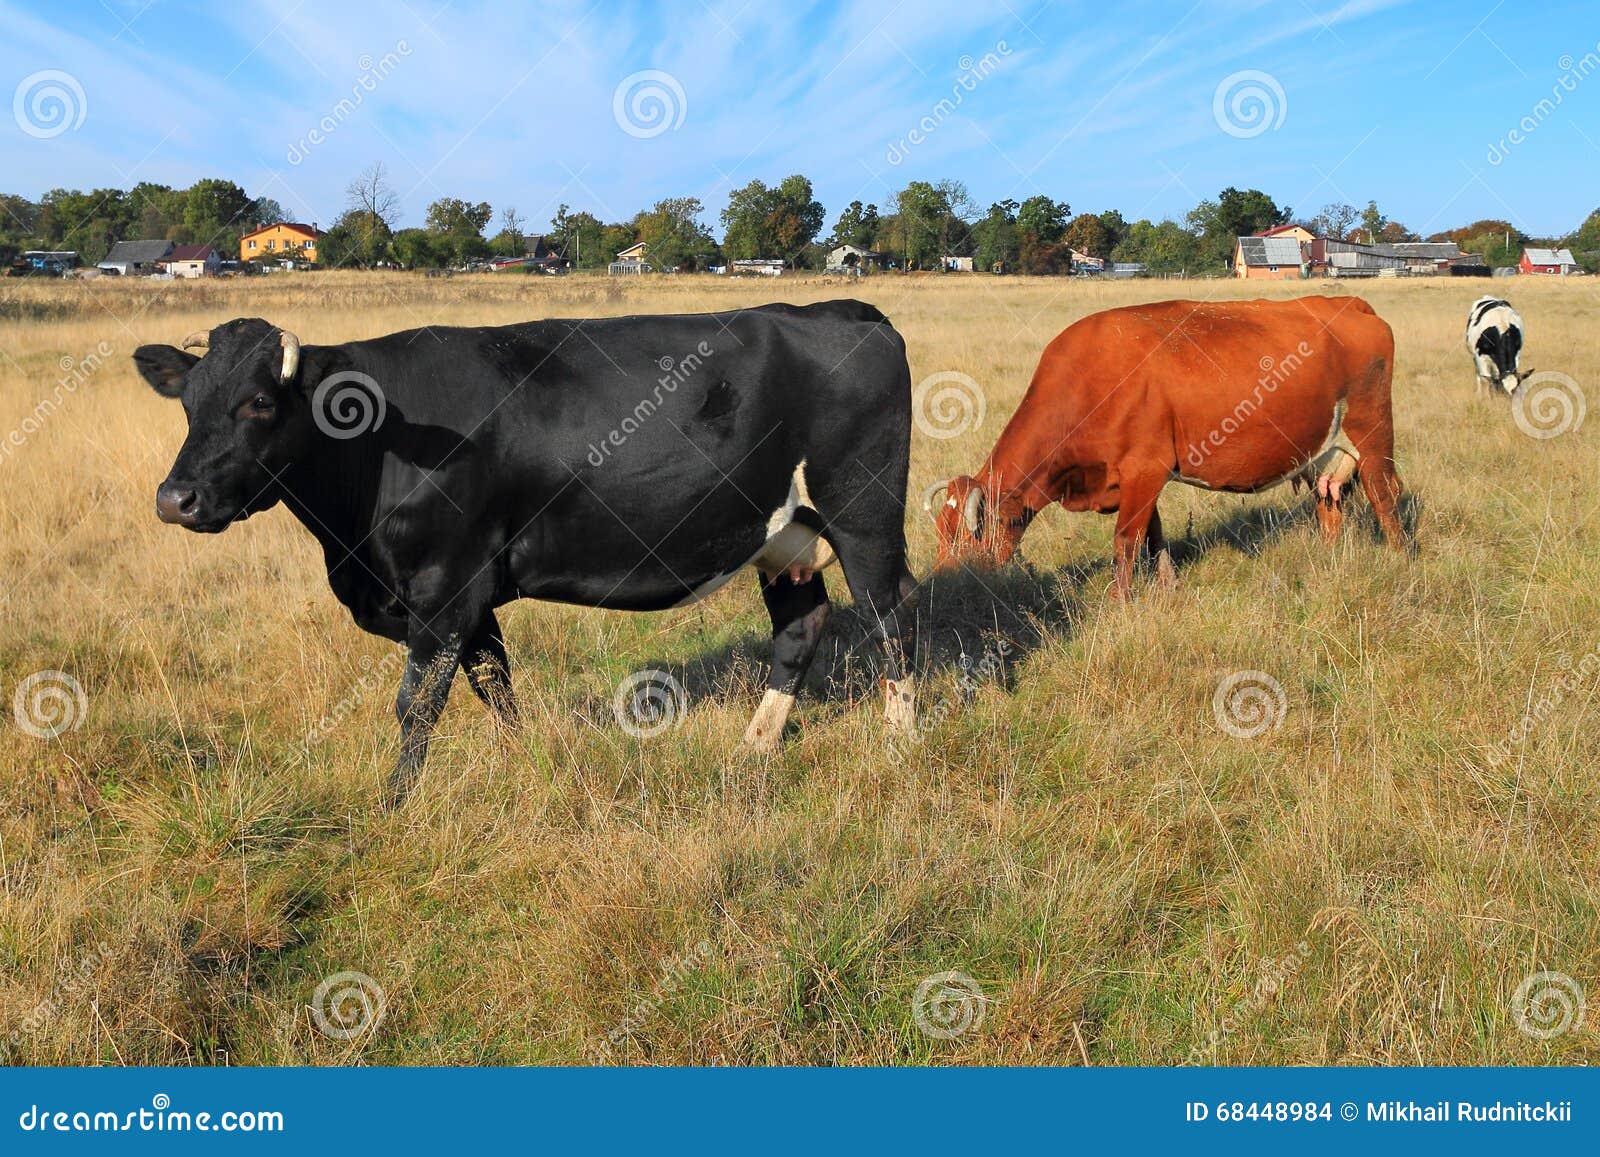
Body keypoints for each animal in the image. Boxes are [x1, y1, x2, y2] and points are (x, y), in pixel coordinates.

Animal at [133, 304, 918, 805]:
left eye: (260, 402)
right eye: (188, 402)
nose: (175, 499)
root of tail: (842, 310)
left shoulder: (443, 586)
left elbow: (417, 704)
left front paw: (392, 807)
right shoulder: (470, 597)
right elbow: (495, 687)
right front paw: (523, 767)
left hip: (864, 515)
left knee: (889, 620)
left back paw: (900, 743)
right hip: (784, 535)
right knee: (800, 628)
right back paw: (754, 748)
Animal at [924, 296, 1406, 599]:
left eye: (968, 535)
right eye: (941, 533)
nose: (945, 587)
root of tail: (1348, 303)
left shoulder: (1145, 468)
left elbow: (1126, 541)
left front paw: (1120, 603)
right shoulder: (1139, 477)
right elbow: (1154, 535)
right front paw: (1168, 584)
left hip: (1373, 433)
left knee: (1385, 496)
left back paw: (1398, 560)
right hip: (1324, 451)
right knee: (1329, 503)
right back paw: (1326, 559)